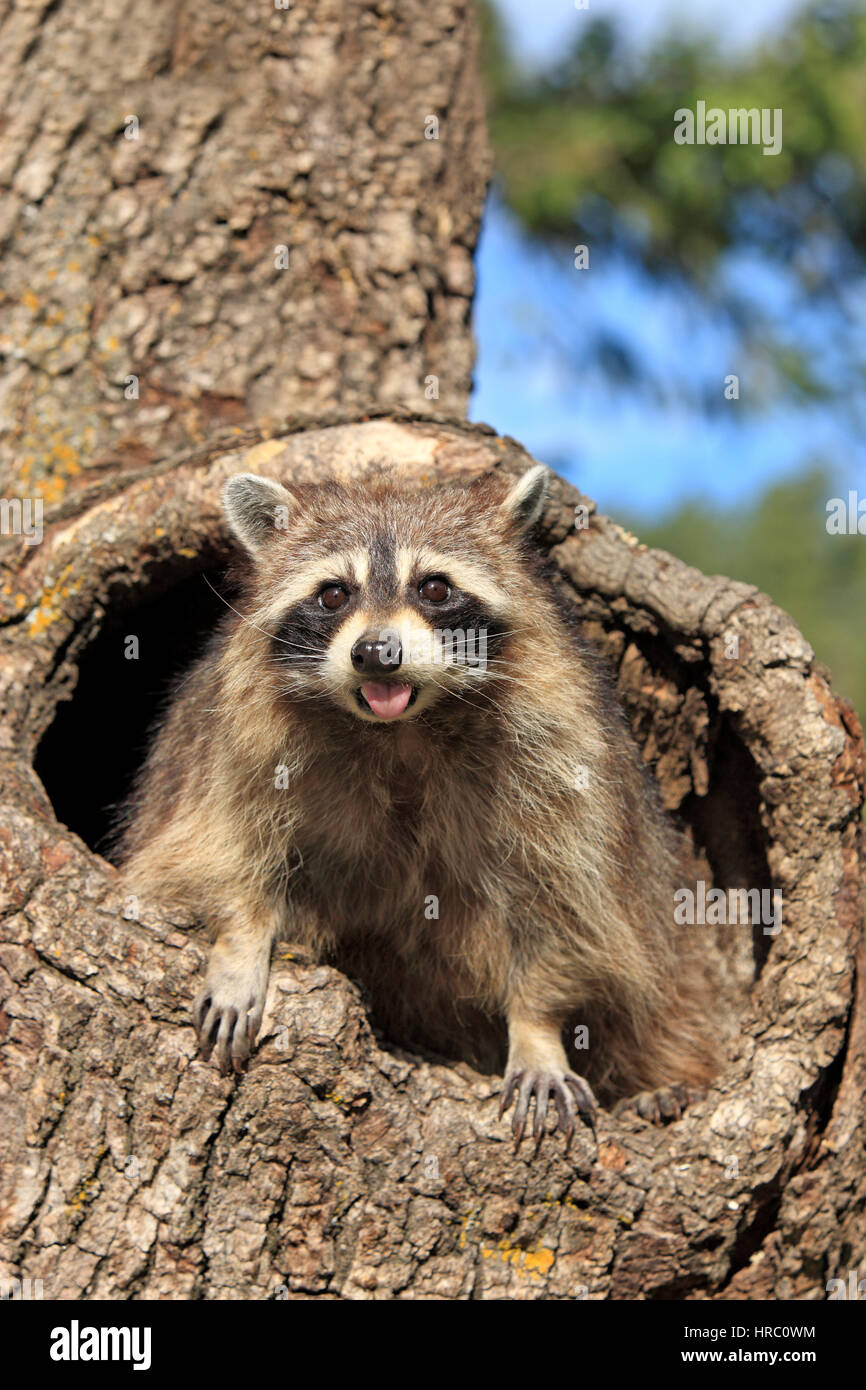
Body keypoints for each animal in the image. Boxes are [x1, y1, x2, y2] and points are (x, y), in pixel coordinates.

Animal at [117, 464, 718, 1139]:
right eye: (333, 595)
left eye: (434, 587)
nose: (375, 653)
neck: (400, 727)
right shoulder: (232, 741)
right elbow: (216, 845)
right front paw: (240, 940)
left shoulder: (561, 751)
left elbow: (565, 900)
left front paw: (538, 1030)